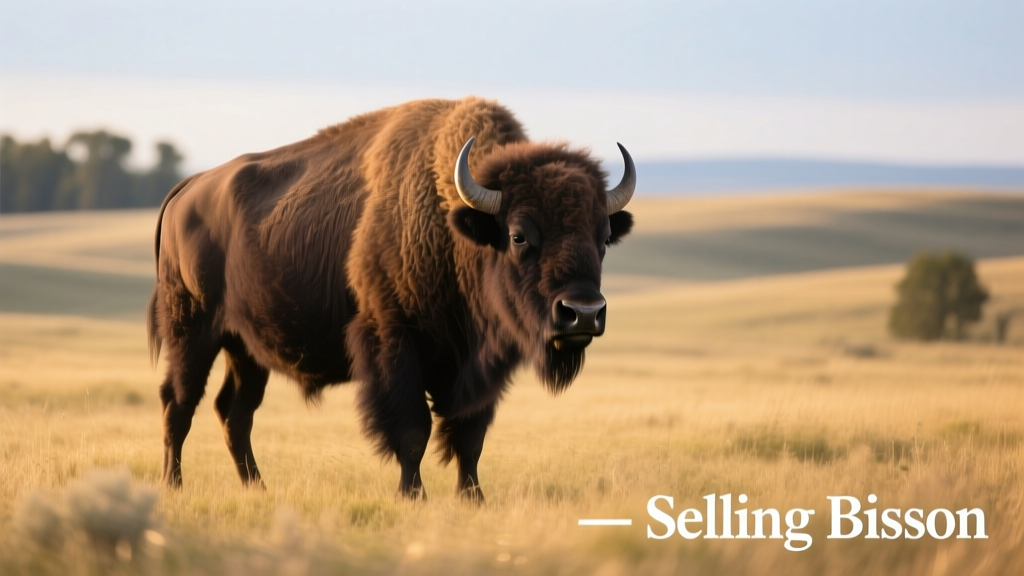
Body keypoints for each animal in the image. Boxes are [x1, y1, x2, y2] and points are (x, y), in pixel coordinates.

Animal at [148, 97, 635, 499]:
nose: (583, 313)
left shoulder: (479, 367)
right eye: (518, 236)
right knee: (179, 403)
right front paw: (412, 495)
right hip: (193, 332)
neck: (455, 224)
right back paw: (173, 485)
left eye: (603, 237)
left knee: (235, 412)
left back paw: (257, 488)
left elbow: (470, 435)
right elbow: (413, 429)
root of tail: (187, 189)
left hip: (246, 350)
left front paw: (472, 498)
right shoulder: (394, 344)